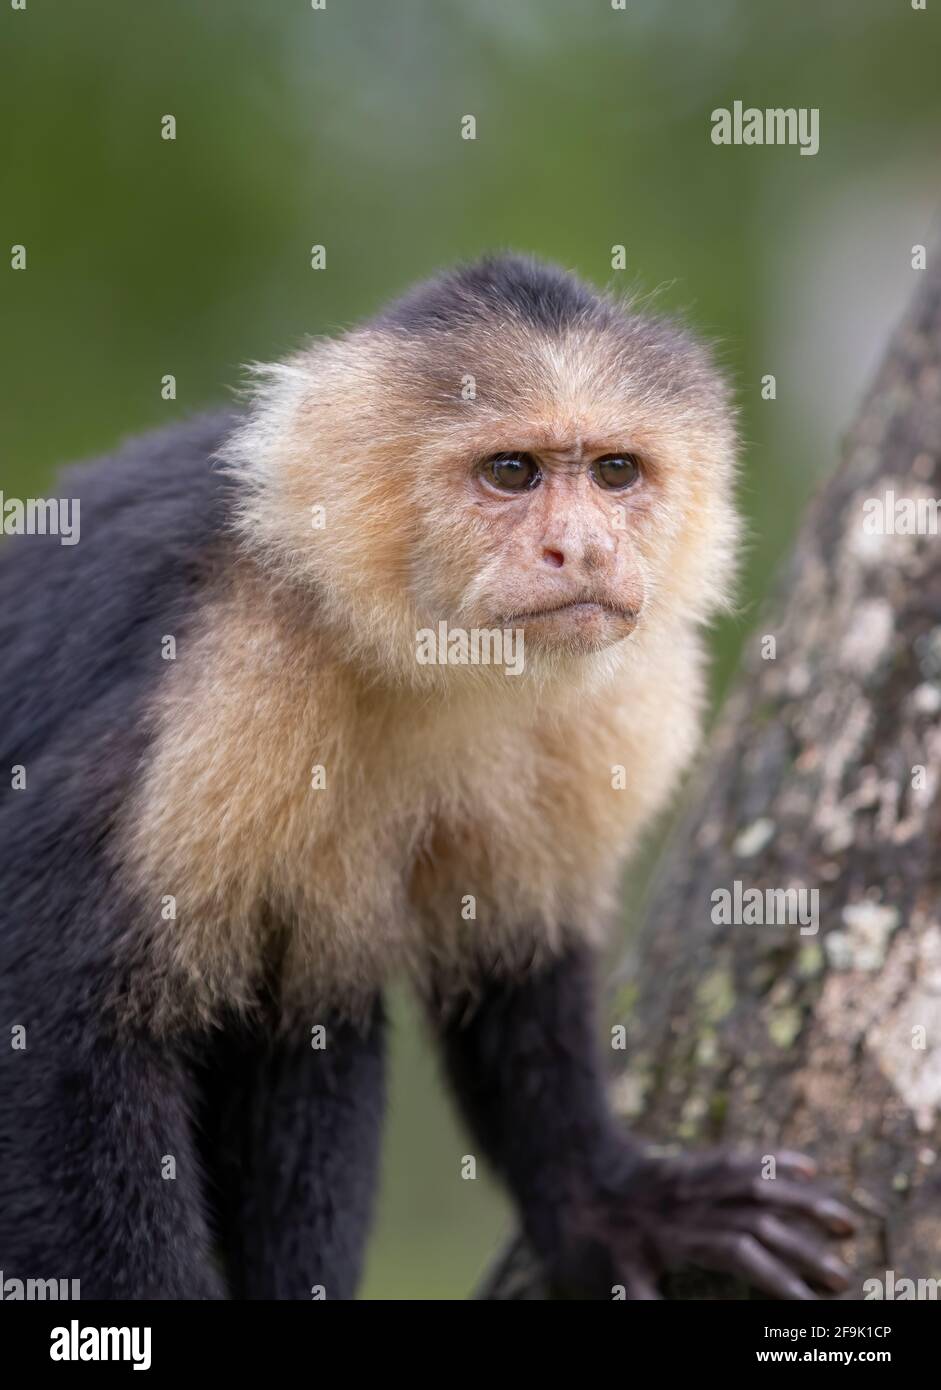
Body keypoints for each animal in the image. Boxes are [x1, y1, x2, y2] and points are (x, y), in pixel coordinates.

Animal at [0, 255, 856, 1300]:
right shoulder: (224, 674)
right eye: (511, 472)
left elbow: (515, 955)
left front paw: (606, 1200)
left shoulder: (617, 697)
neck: (426, 658)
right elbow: (51, 1011)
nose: (584, 549)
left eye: (615, 472)